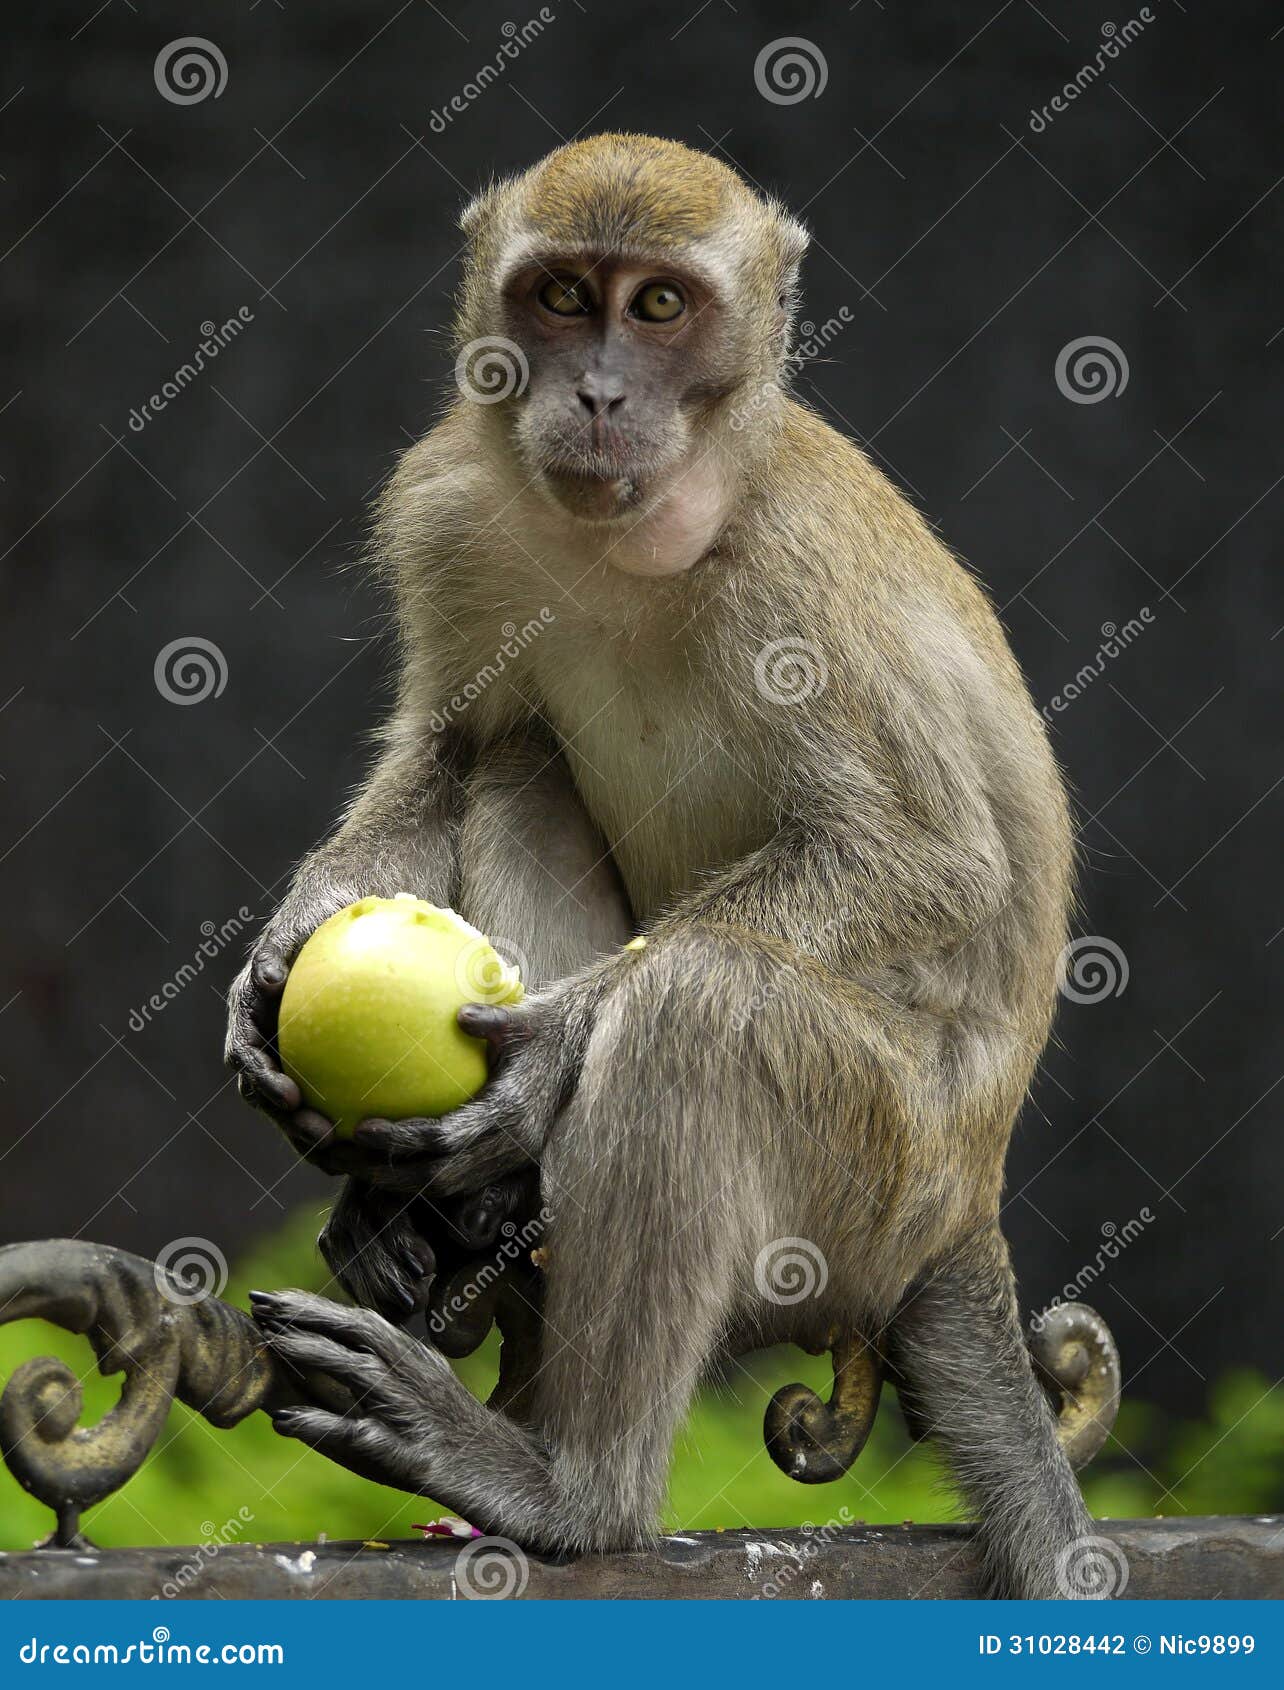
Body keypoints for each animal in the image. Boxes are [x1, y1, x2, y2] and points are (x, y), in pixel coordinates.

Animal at [227, 133, 1106, 1599]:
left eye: (658, 308)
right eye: (561, 296)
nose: (596, 392)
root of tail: (964, 1211)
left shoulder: (794, 576)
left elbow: (927, 862)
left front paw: (554, 1044)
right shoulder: (450, 505)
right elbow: (447, 746)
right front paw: (288, 945)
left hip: (880, 1166)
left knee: (703, 1014)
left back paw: (567, 1487)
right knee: (517, 765)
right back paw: (476, 1223)